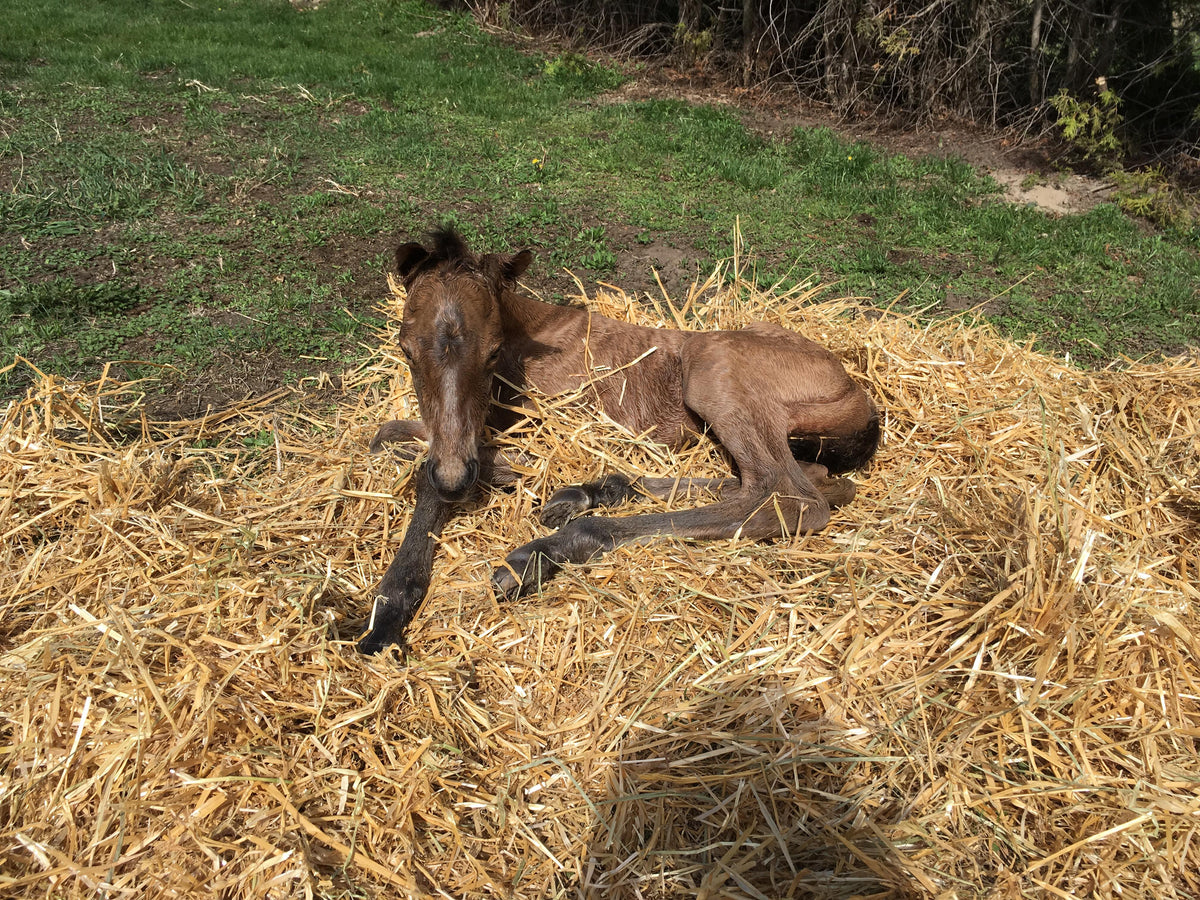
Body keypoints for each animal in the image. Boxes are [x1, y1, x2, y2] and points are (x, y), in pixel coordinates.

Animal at [358, 227, 880, 654]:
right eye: (406, 349)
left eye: (491, 352)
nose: (454, 478)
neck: (526, 340)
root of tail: (858, 395)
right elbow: (388, 439)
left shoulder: (563, 425)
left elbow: (460, 466)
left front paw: (388, 611)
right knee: (804, 479)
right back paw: (593, 492)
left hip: (714, 363)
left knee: (791, 495)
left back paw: (550, 548)